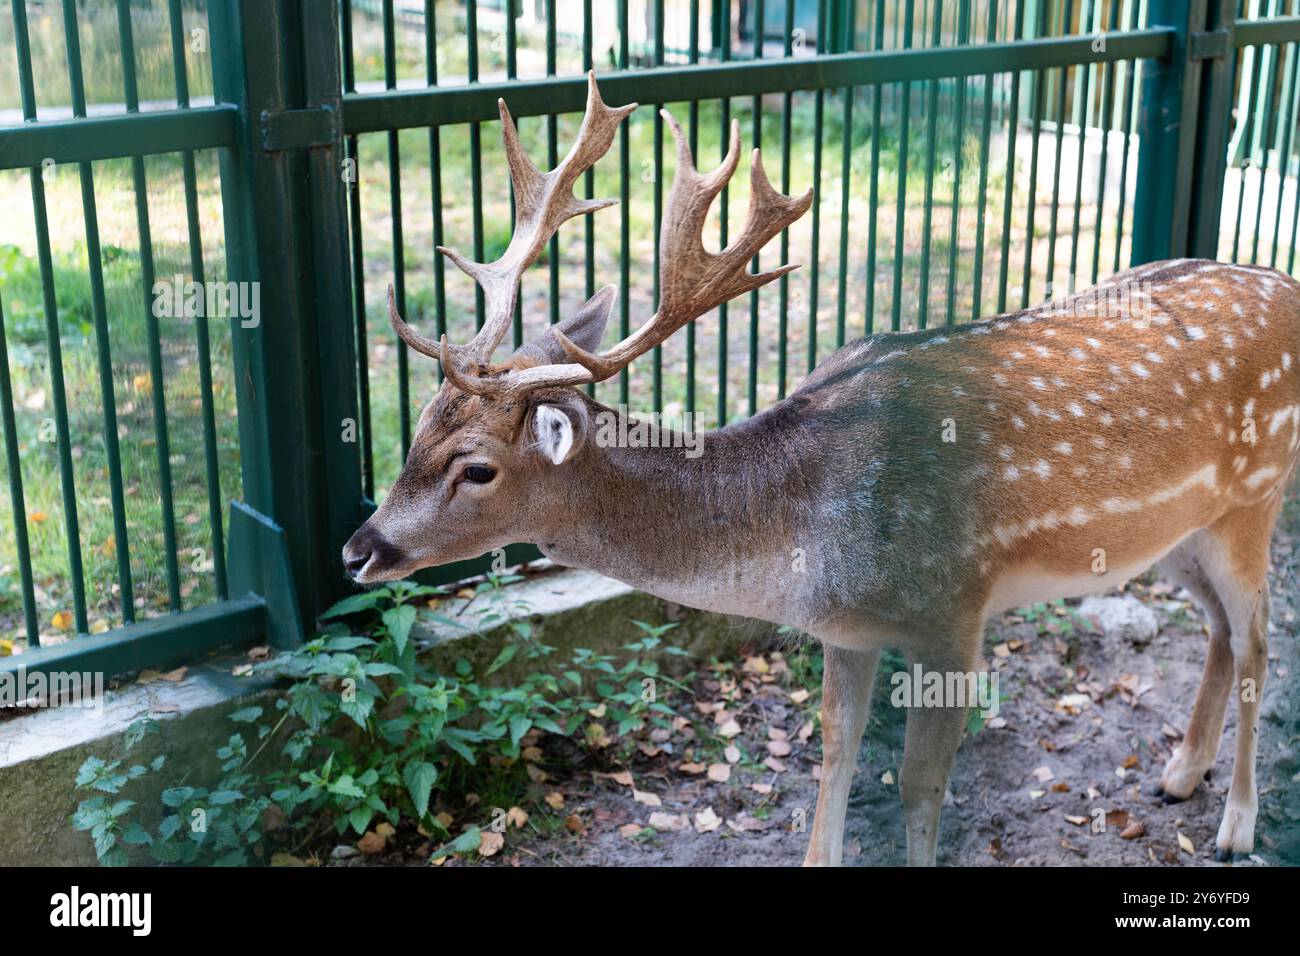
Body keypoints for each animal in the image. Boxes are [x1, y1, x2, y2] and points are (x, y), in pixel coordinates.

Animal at [343, 73, 1300, 866]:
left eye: (476, 469)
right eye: (418, 425)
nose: (359, 548)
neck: (809, 545)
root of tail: (1286, 284)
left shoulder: (953, 609)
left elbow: (918, 787)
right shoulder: (845, 631)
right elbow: (834, 756)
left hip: (1259, 492)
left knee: (1260, 635)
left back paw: (1236, 823)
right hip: (1176, 532)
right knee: (1218, 627)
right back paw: (1179, 773)